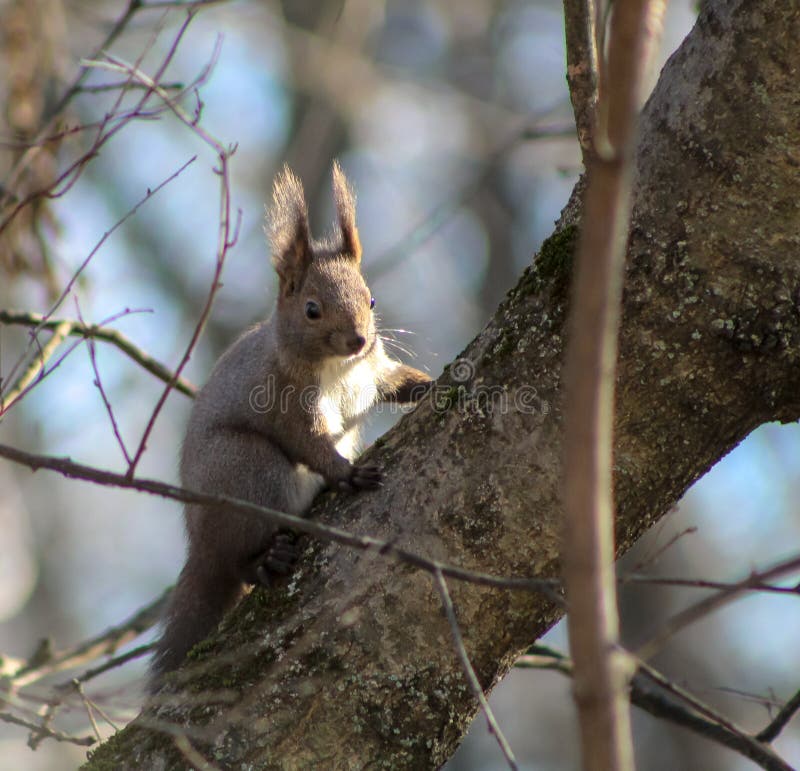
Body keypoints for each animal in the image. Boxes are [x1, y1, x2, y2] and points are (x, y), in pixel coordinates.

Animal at [148, 162, 432, 690]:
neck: (338, 366)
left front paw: (429, 385)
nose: (357, 339)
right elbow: (310, 441)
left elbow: (391, 382)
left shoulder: (371, 372)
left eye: (371, 299)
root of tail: (200, 543)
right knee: (237, 561)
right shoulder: (286, 399)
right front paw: (347, 472)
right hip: (248, 473)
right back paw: (266, 561)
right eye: (312, 309)